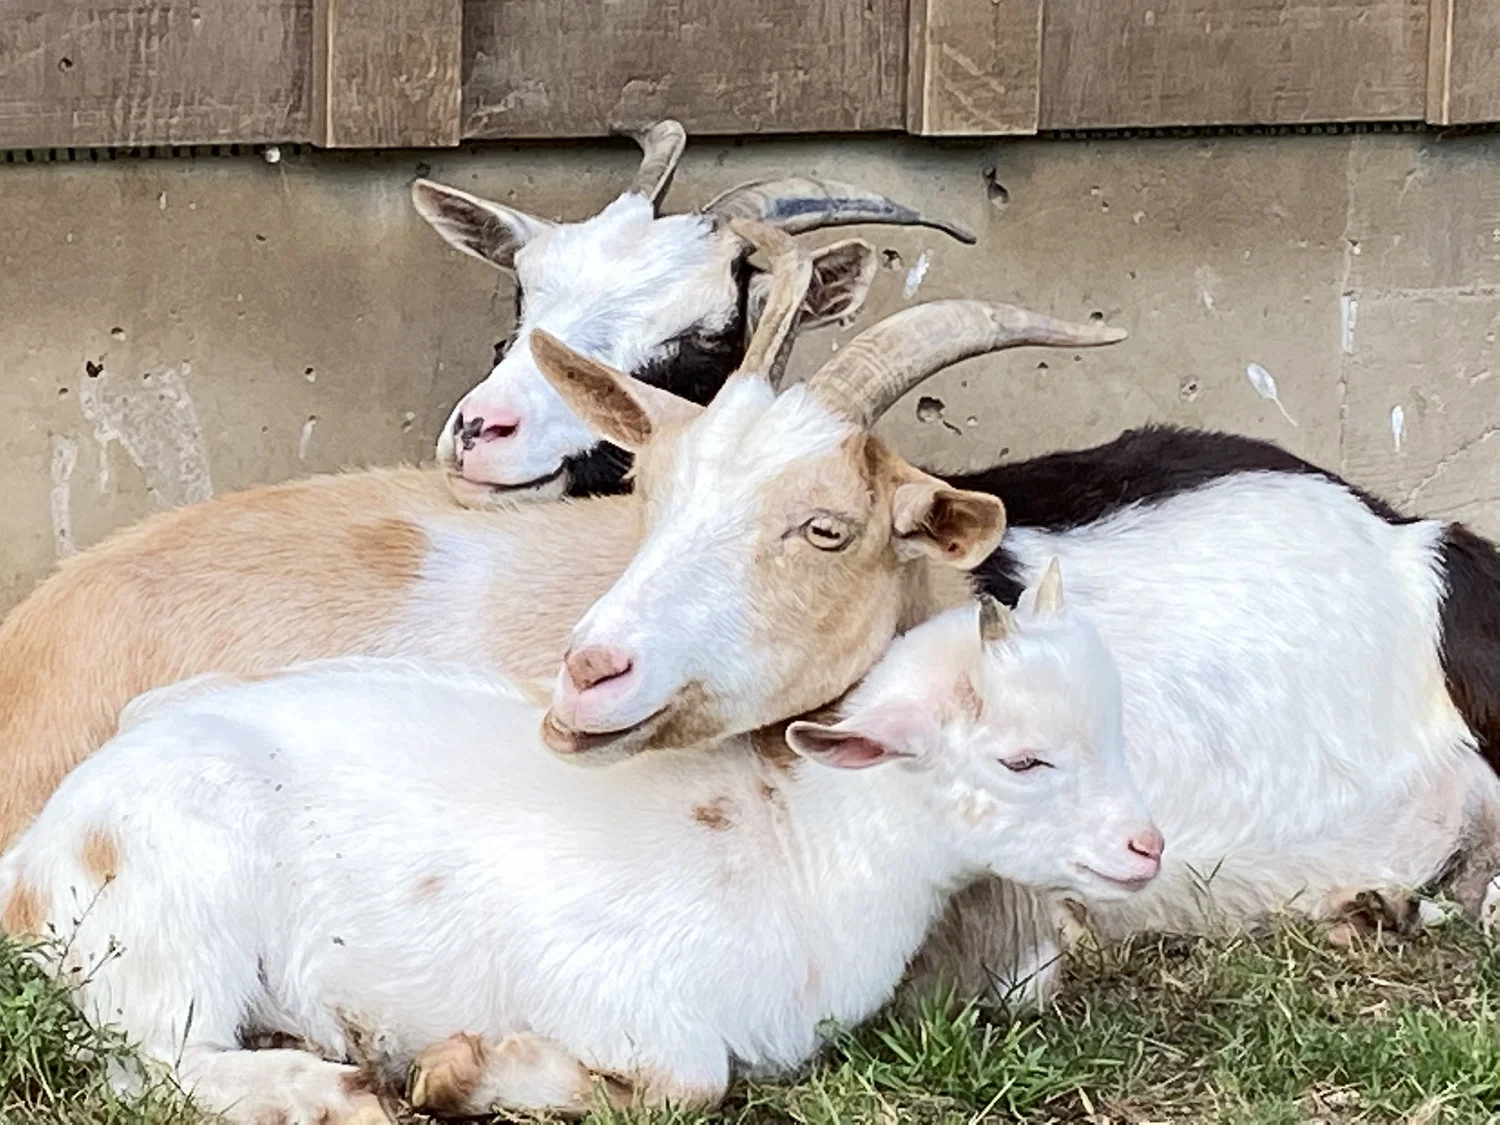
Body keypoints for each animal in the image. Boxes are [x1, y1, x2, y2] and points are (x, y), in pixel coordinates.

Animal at [0, 566, 1159, 1124]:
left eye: (1113, 726)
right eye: (1022, 761)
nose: (1145, 847)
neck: (800, 844)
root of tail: (34, 863)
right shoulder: (607, 976)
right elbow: (691, 1081)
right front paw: (460, 1068)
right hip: (170, 920)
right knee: (148, 1065)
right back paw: (331, 1092)